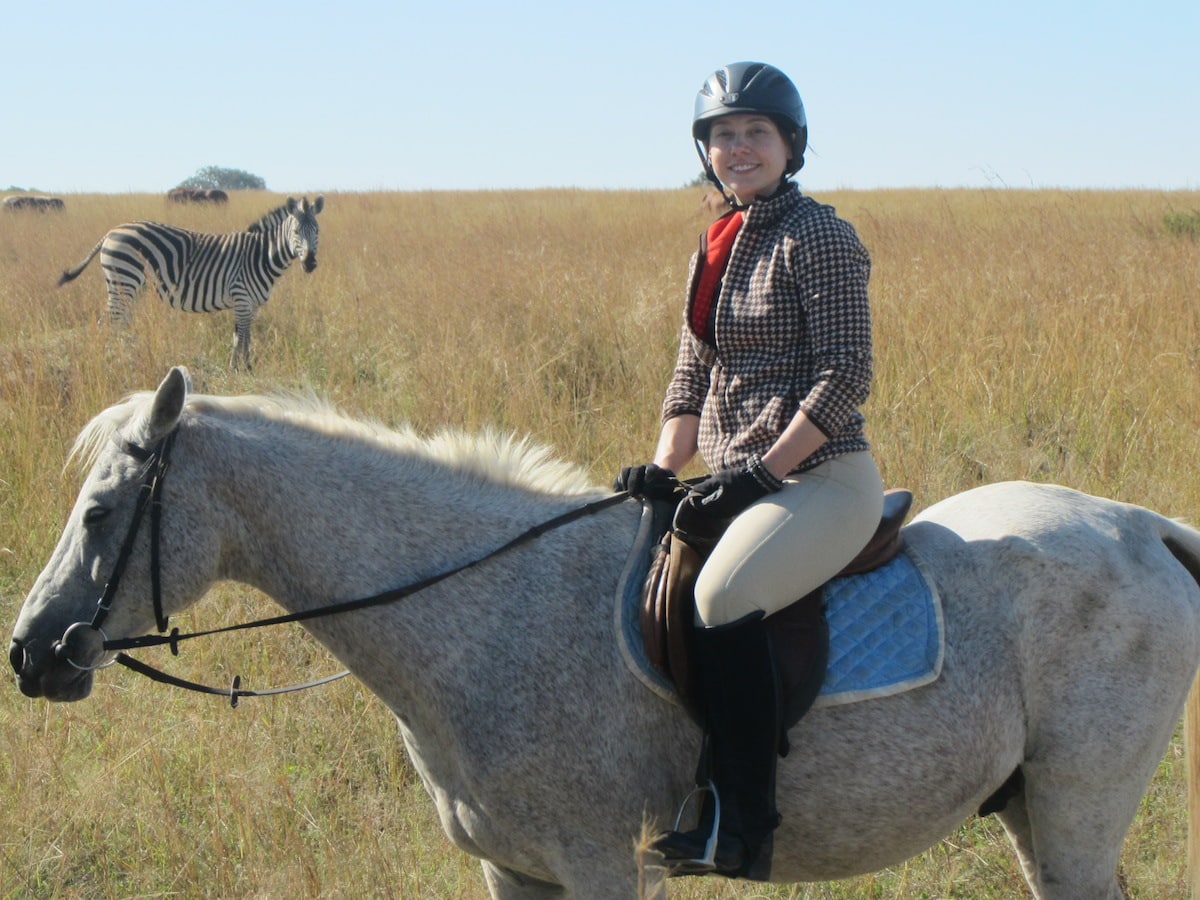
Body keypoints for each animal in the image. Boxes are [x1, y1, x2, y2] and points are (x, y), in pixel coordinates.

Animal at [11, 366, 1200, 900]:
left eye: (102, 514)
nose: (30, 654)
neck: (483, 614)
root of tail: (1144, 527)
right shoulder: (516, 872)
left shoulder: (598, 868)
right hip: (1035, 812)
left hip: (1079, 810)